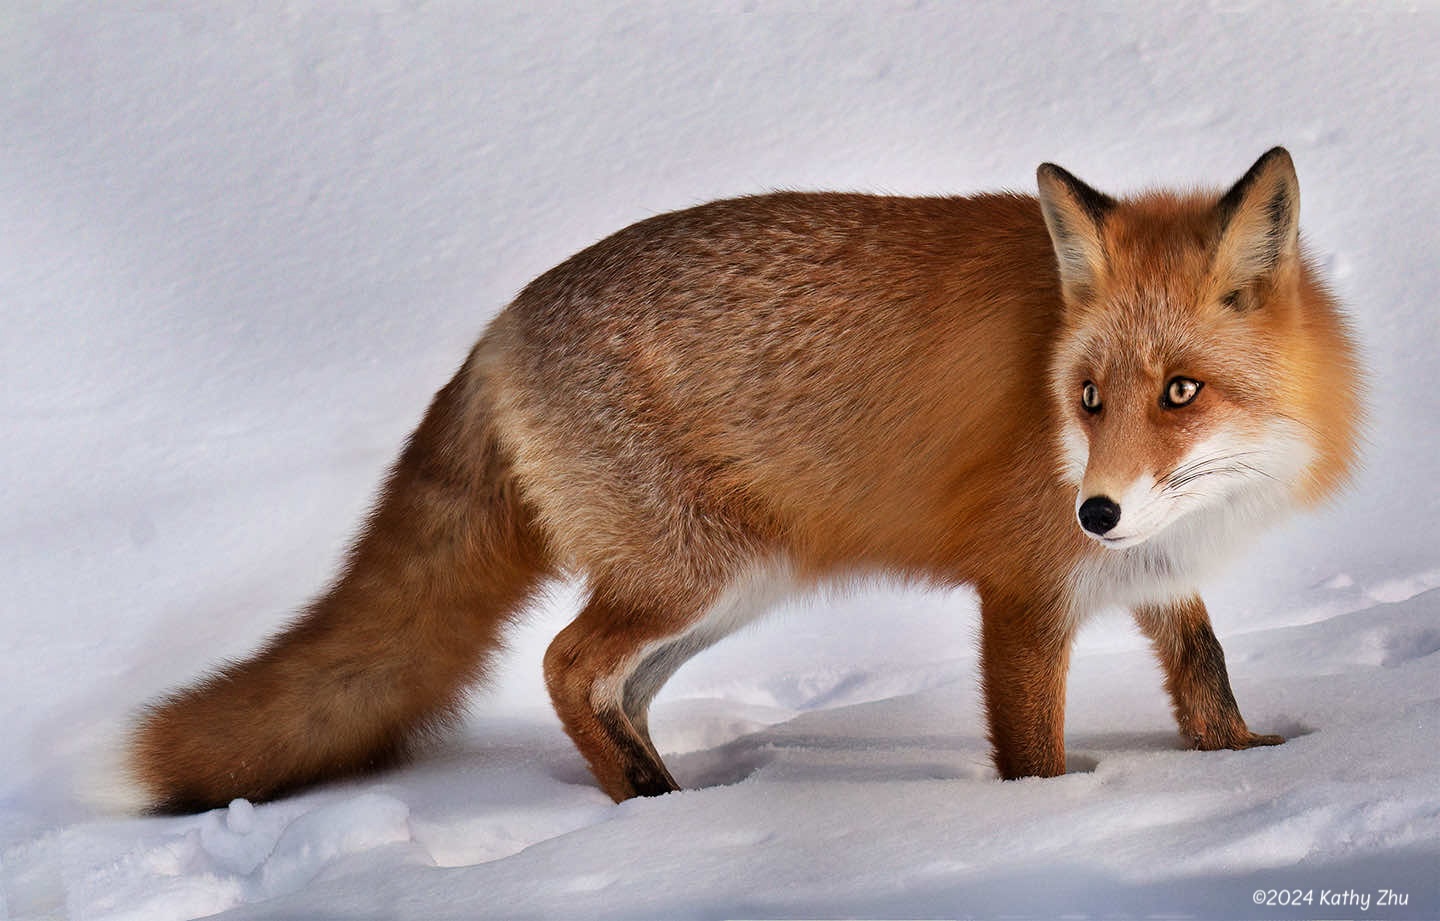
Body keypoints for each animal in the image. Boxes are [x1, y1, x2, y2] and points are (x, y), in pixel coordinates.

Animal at [123, 147, 1360, 812]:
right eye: (1089, 398)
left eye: (1181, 392)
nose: (1092, 508)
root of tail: (499, 323)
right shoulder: (1022, 593)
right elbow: (1034, 757)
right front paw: (1052, 817)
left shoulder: (1154, 564)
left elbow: (1207, 674)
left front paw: (1248, 770)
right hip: (693, 575)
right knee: (565, 664)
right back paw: (663, 819)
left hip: (731, 588)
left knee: (615, 692)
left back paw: (671, 815)